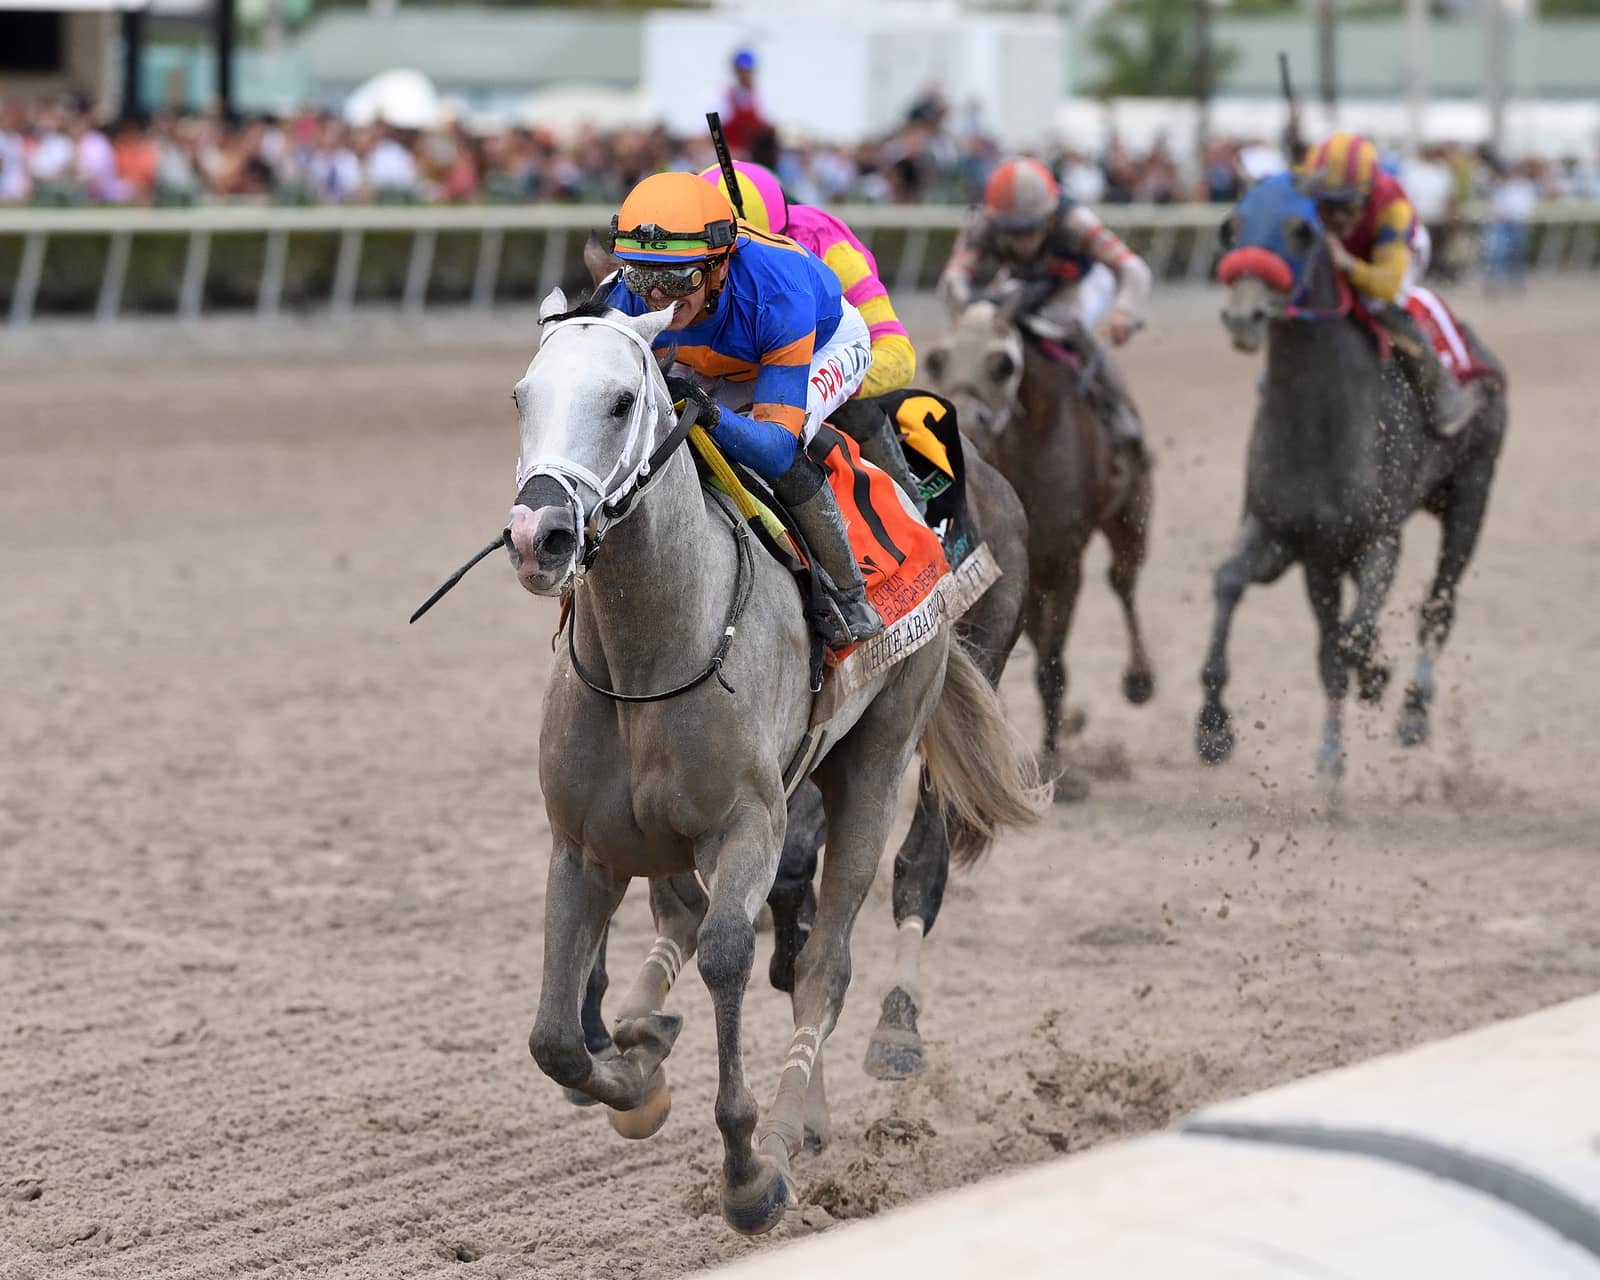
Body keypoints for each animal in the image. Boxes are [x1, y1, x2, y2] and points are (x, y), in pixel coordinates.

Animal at [505, 288, 1042, 1235]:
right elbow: (557, 1039)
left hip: (877, 760)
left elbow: (729, 955)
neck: (651, 653)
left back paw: (802, 1122)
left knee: (830, 961)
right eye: (522, 398)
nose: (540, 535)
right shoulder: (584, 845)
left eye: (620, 402)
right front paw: (637, 1080)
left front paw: (749, 1168)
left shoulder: (750, 822)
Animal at [921, 291, 1157, 799]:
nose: (962, 421)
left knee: (1123, 582)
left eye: (1003, 364)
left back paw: (1139, 680)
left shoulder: (1065, 561)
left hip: (1132, 518)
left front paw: (1054, 766)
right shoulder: (1028, 574)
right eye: (937, 358)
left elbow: (1052, 669)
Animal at [1201, 173, 1508, 777]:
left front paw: (1376, 679)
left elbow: (1354, 638)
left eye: (1301, 230)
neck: (1319, 421)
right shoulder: (1296, 540)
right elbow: (1232, 584)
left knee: (1439, 605)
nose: (1244, 316)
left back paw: (1413, 712)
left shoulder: (1377, 539)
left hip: (1471, 490)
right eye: (1231, 225)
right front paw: (1215, 726)